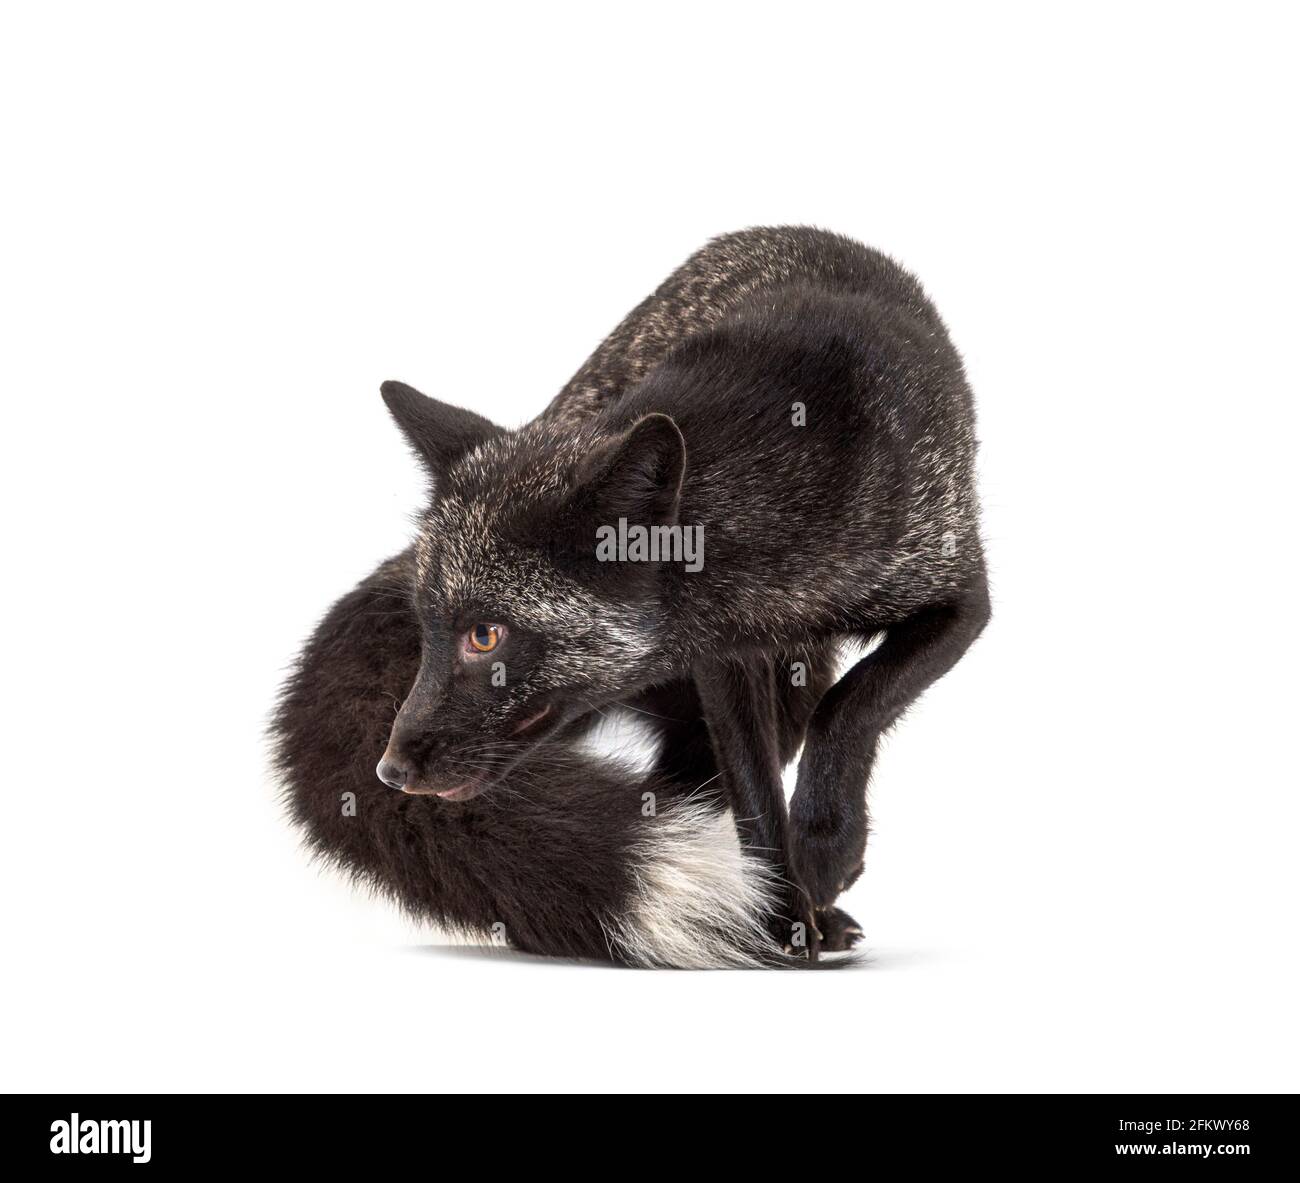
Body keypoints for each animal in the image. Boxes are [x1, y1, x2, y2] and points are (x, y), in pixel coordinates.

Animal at [371, 226, 990, 955]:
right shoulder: (726, 662)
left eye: (485, 636)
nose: (388, 772)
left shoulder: (961, 596)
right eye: (429, 629)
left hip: (791, 693)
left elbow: (854, 703)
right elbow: (755, 798)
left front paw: (824, 846)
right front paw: (780, 923)